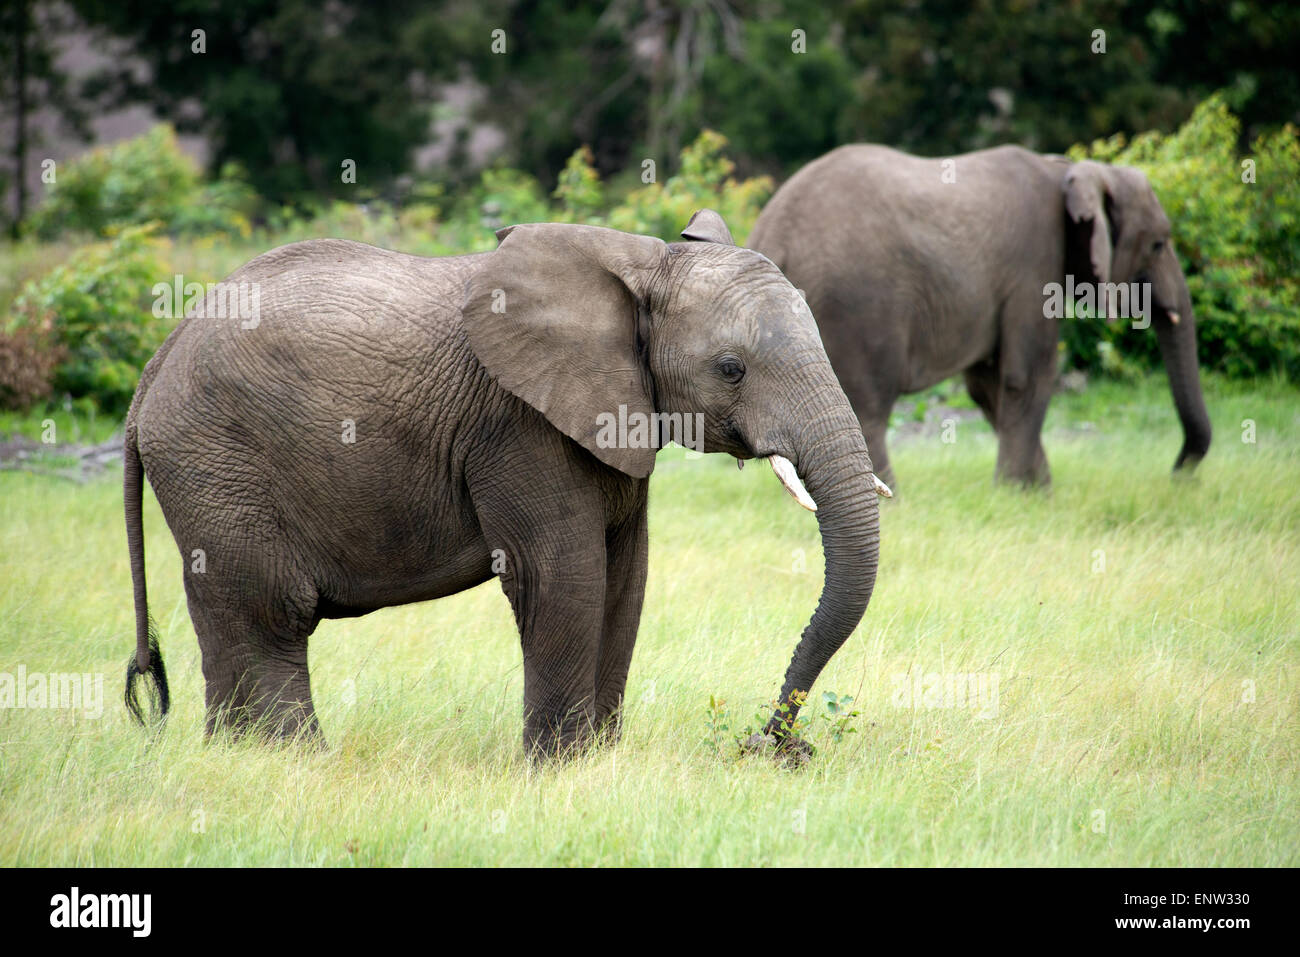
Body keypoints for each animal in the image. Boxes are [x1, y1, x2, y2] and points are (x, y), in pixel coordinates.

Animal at [122, 209, 889, 761]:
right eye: (732, 369)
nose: (774, 743)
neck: (641, 263)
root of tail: (157, 363)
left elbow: (626, 575)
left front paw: (599, 761)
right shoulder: (518, 424)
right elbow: (563, 573)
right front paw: (557, 769)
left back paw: (234, 757)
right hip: (215, 457)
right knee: (270, 610)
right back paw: (294, 761)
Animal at [747, 144, 1212, 488]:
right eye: (1158, 244)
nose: (1177, 476)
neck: (1070, 171)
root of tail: (772, 229)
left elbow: (988, 385)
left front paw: (1036, 491)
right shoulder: (1034, 265)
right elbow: (1029, 375)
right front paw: (1017, 491)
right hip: (858, 306)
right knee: (869, 404)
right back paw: (892, 500)